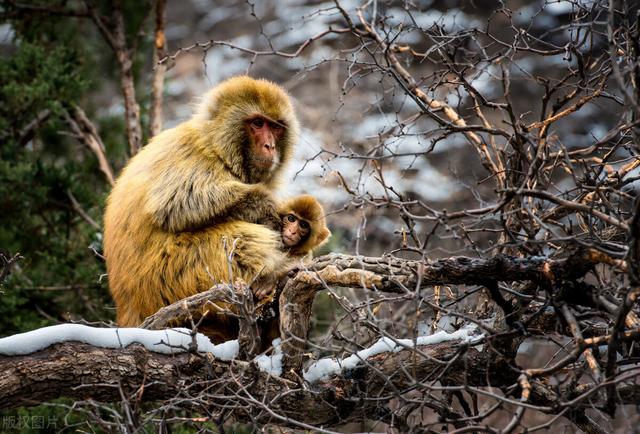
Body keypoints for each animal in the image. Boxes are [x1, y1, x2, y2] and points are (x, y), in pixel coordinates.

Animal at [105, 76, 300, 332]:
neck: (217, 149)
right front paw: (264, 207)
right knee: (245, 238)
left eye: (276, 127)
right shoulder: (194, 156)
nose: (270, 146)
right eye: (258, 123)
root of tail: (129, 310)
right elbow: (176, 204)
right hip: (171, 277)